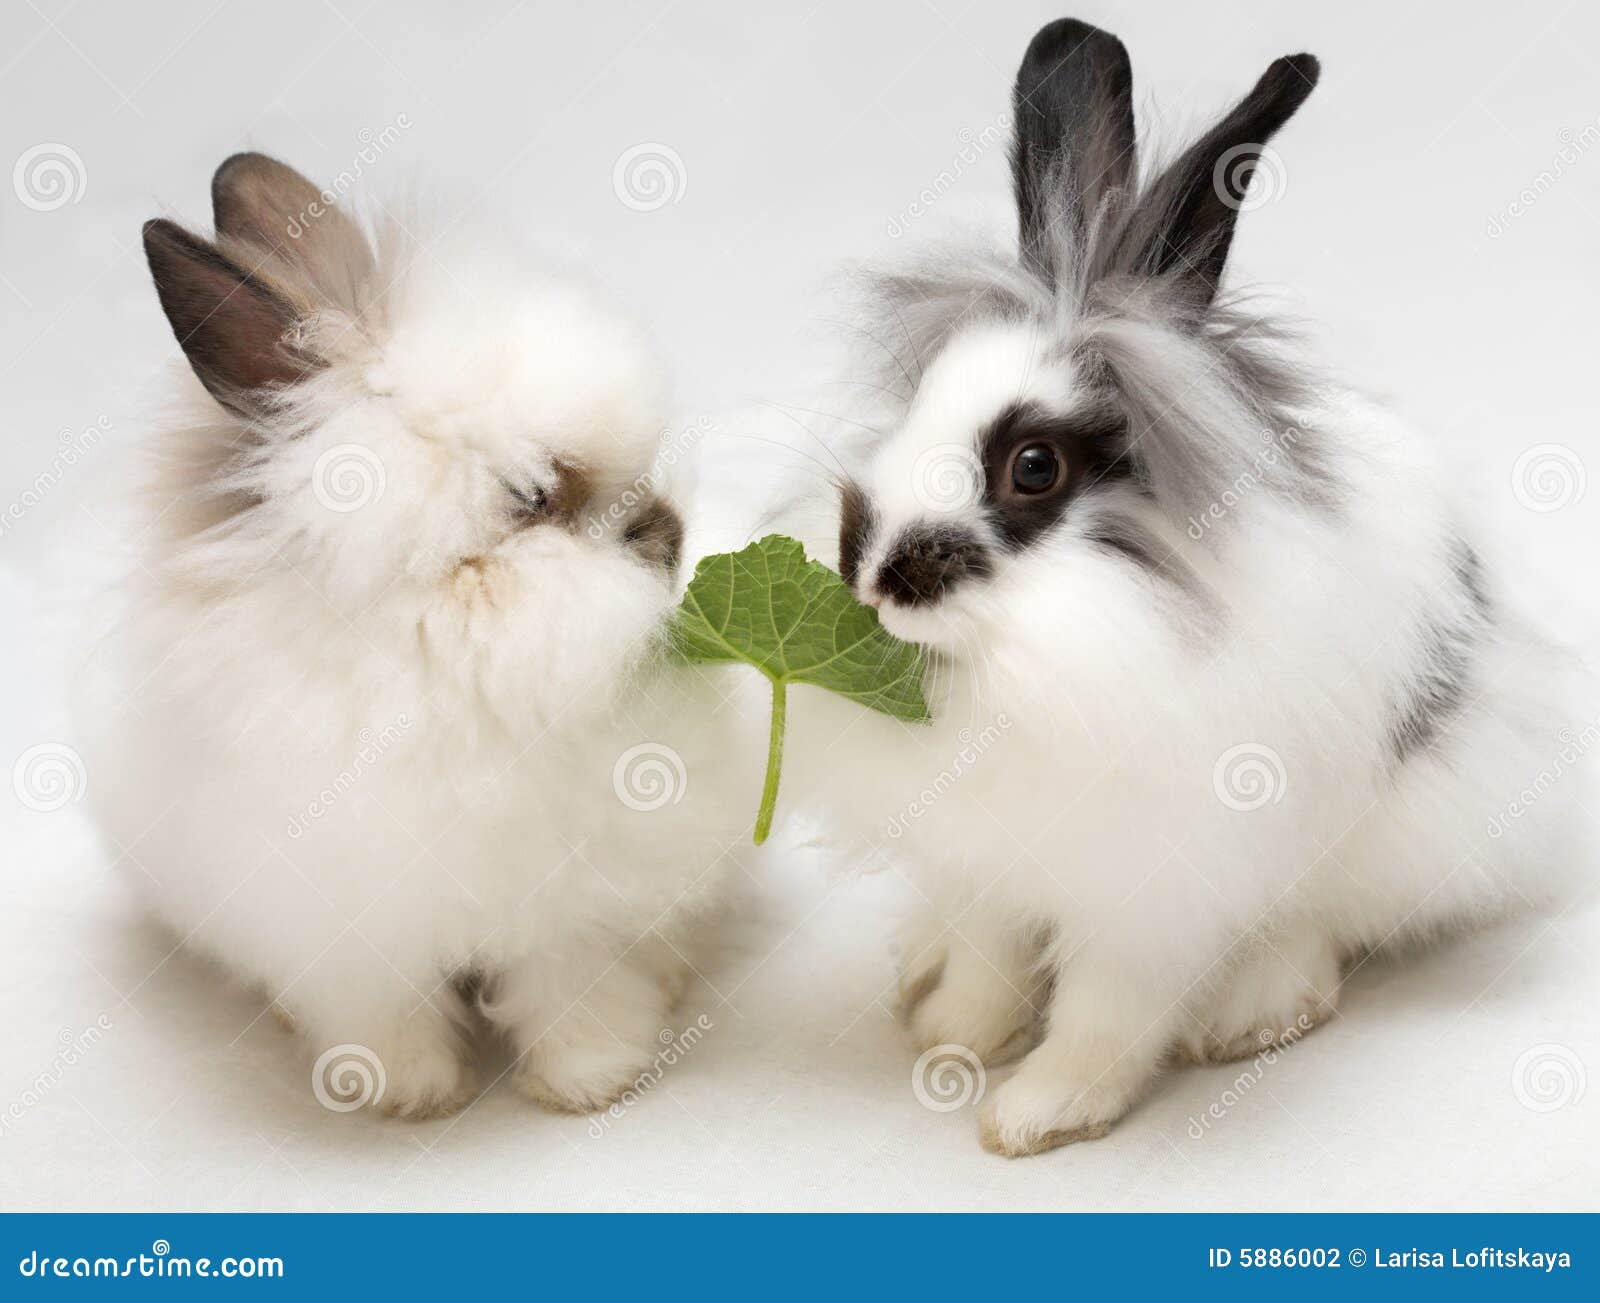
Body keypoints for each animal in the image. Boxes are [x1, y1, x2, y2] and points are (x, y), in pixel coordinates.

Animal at [81, 153, 764, 1119]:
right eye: (532, 498)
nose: (670, 536)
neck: (449, 663)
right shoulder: (348, 931)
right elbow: (386, 1011)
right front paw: (407, 1094)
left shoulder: (576, 908)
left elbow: (576, 991)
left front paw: (589, 1083)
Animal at [774, 18, 1593, 1155]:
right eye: (914, 404)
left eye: (1034, 466)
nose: (876, 572)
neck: (1027, 657)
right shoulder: (987, 862)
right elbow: (986, 962)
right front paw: (953, 1038)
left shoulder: (1149, 891)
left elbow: (1106, 1012)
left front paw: (1033, 1113)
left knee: (1324, 922)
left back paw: (1253, 1010)